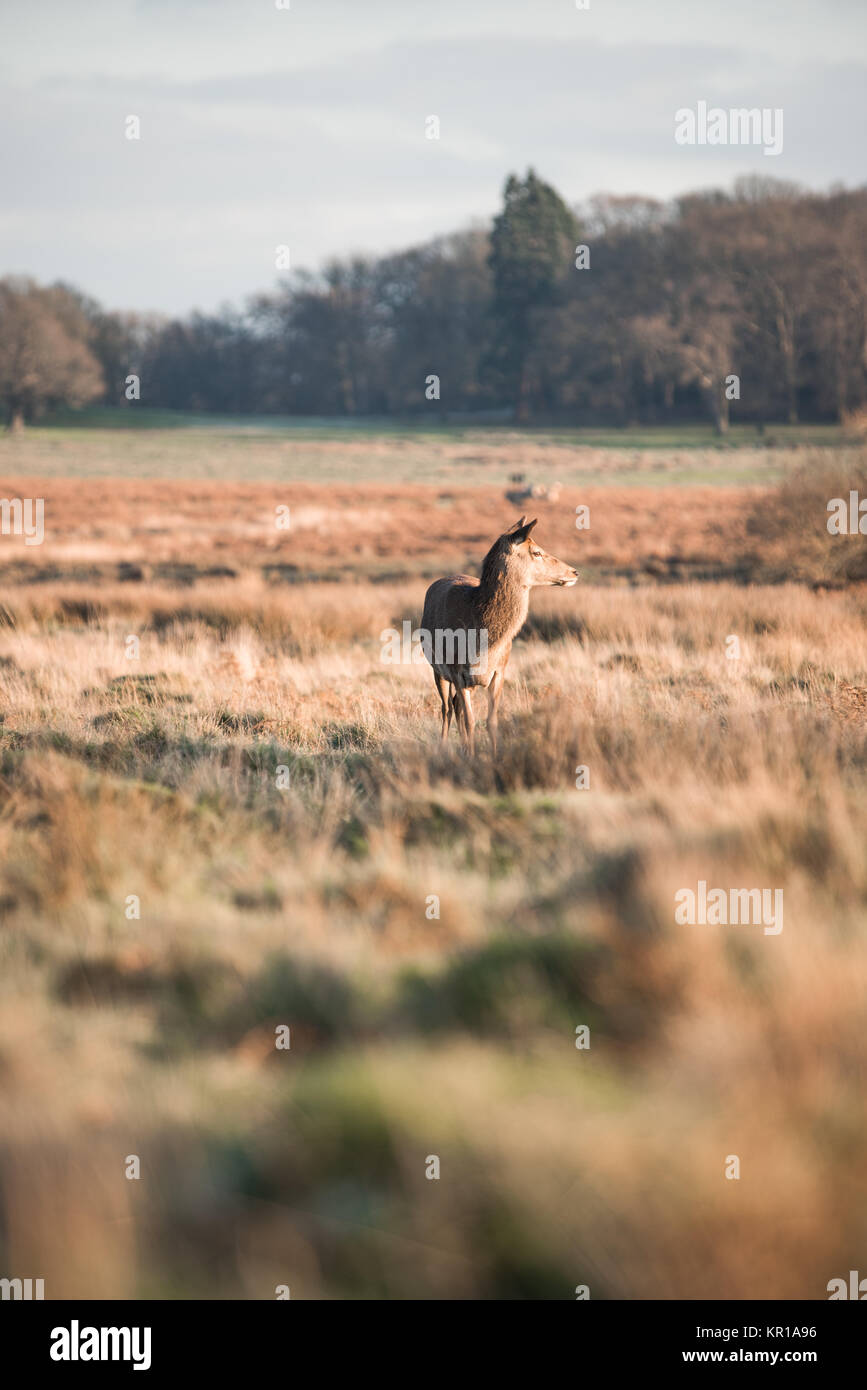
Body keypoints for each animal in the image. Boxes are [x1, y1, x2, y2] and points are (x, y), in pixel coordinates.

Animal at [421, 517, 579, 755]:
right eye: (536, 552)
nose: (574, 572)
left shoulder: (499, 671)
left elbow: (491, 721)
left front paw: (492, 755)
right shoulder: (457, 672)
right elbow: (470, 721)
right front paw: (472, 757)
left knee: (455, 706)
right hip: (437, 669)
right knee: (446, 707)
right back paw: (444, 747)